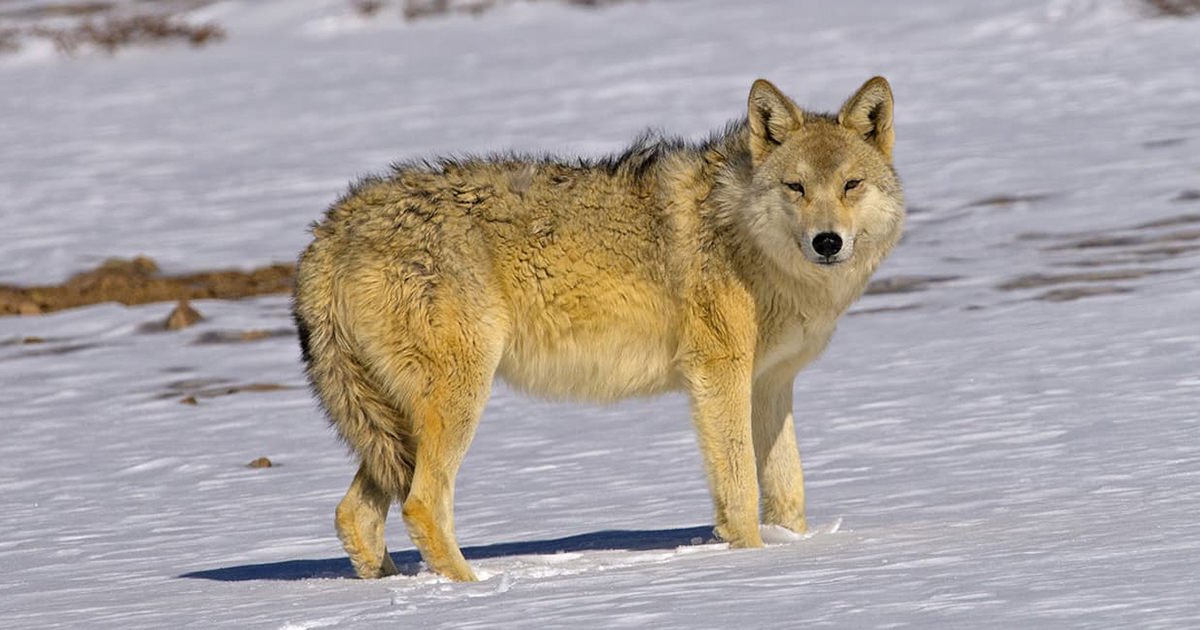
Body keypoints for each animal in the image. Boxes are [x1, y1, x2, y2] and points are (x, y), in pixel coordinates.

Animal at [292, 77, 904, 581]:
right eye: (796, 187)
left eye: (850, 185)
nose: (828, 242)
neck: (745, 239)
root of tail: (330, 229)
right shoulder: (718, 375)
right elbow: (739, 487)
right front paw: (752, 563)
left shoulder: (771, 383)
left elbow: (789, 491)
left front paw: (794, 553)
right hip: (459, 397)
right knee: (421, 503)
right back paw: (475, 590)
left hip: (394, 427)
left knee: (353, 512)